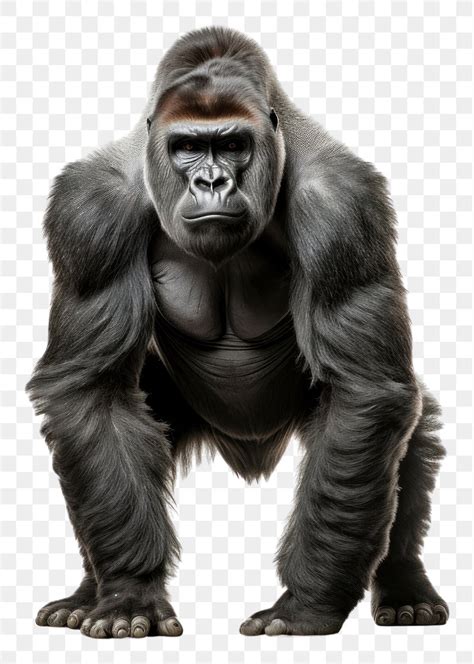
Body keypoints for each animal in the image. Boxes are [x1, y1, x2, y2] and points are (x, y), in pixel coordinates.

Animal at [27, 26, 449, 638]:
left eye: (232, 146)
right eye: (187, 147)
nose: (212, 180)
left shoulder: (344, 205)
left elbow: (365, 393)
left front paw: (308, 603)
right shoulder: (89, 211)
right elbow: (90, 391)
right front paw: (130, 591)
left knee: (404, 433)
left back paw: (404, 585)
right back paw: (89, 592)